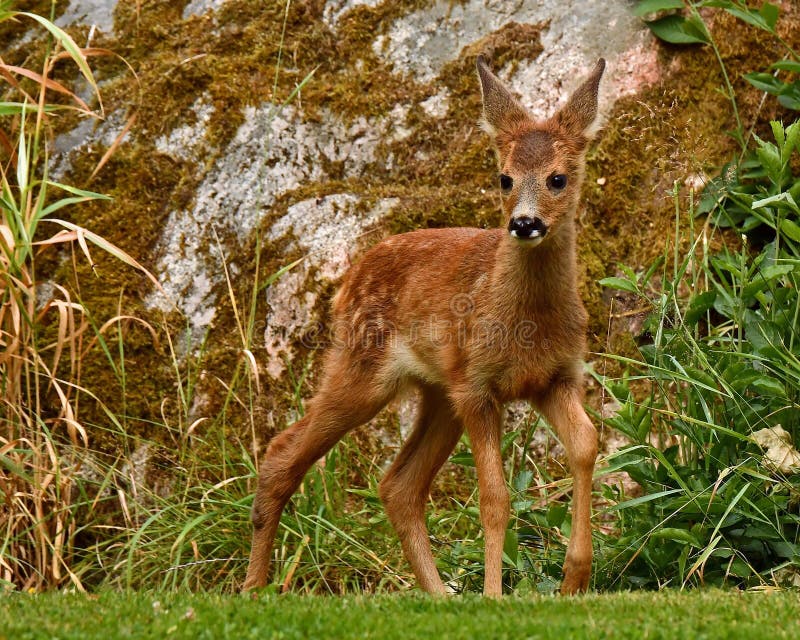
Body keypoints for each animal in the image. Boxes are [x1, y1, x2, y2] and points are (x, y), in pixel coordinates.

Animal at [244, 55, 605, 597]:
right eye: (504, 178)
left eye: (558, 178)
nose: (523, 224)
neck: (527, 321)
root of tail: (348, 278)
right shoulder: (478, 386)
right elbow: (494, 499)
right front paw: (496, 595)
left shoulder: (556, 377)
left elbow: (586, 444)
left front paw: (574, 579)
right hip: (365, 367)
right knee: (282, 453)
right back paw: (251, 588)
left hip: (438, 393)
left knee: (398, 485)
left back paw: (440, 595)